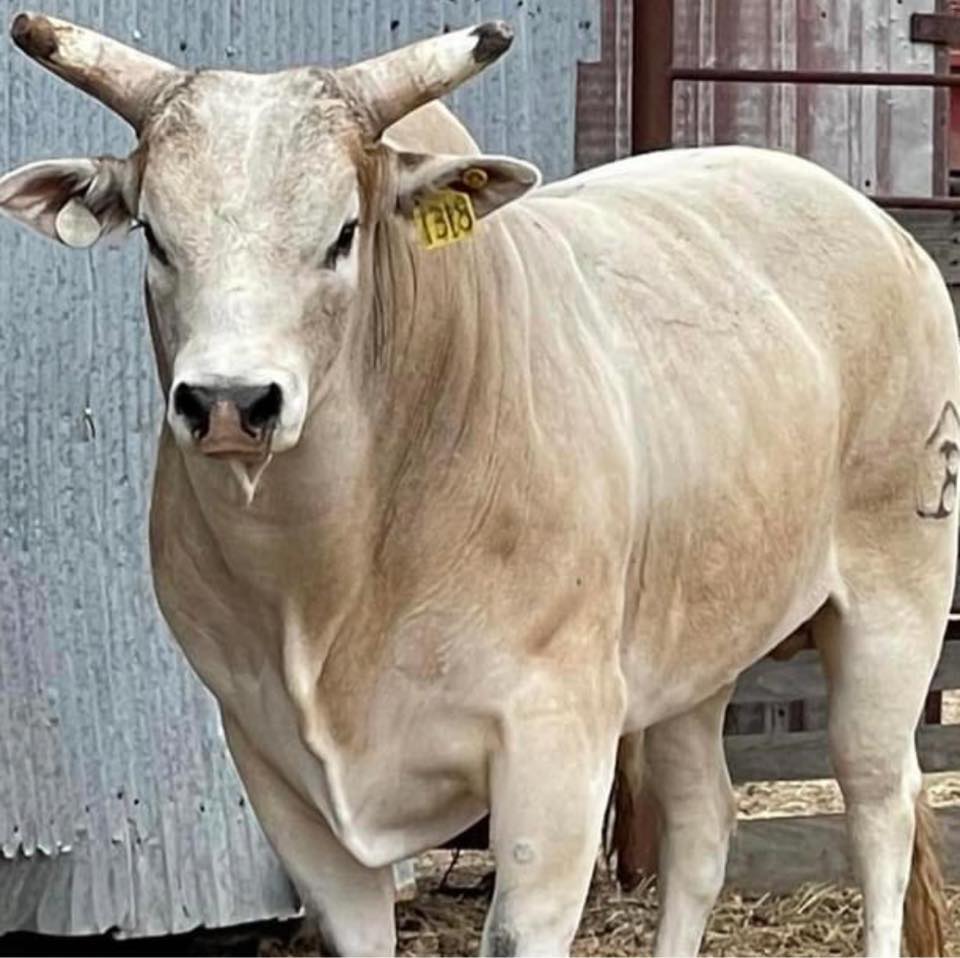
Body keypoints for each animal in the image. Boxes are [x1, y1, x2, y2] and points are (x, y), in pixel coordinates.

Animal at [1, 12, 957, 957]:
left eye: (343, 233)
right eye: (156, 237)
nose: (230, 401)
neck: (328, 579)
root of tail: (886, 231)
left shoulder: (555, 750)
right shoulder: (273, 765)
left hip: (895, 609)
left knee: (879, 803)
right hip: (696, 647)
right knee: (701, 828)